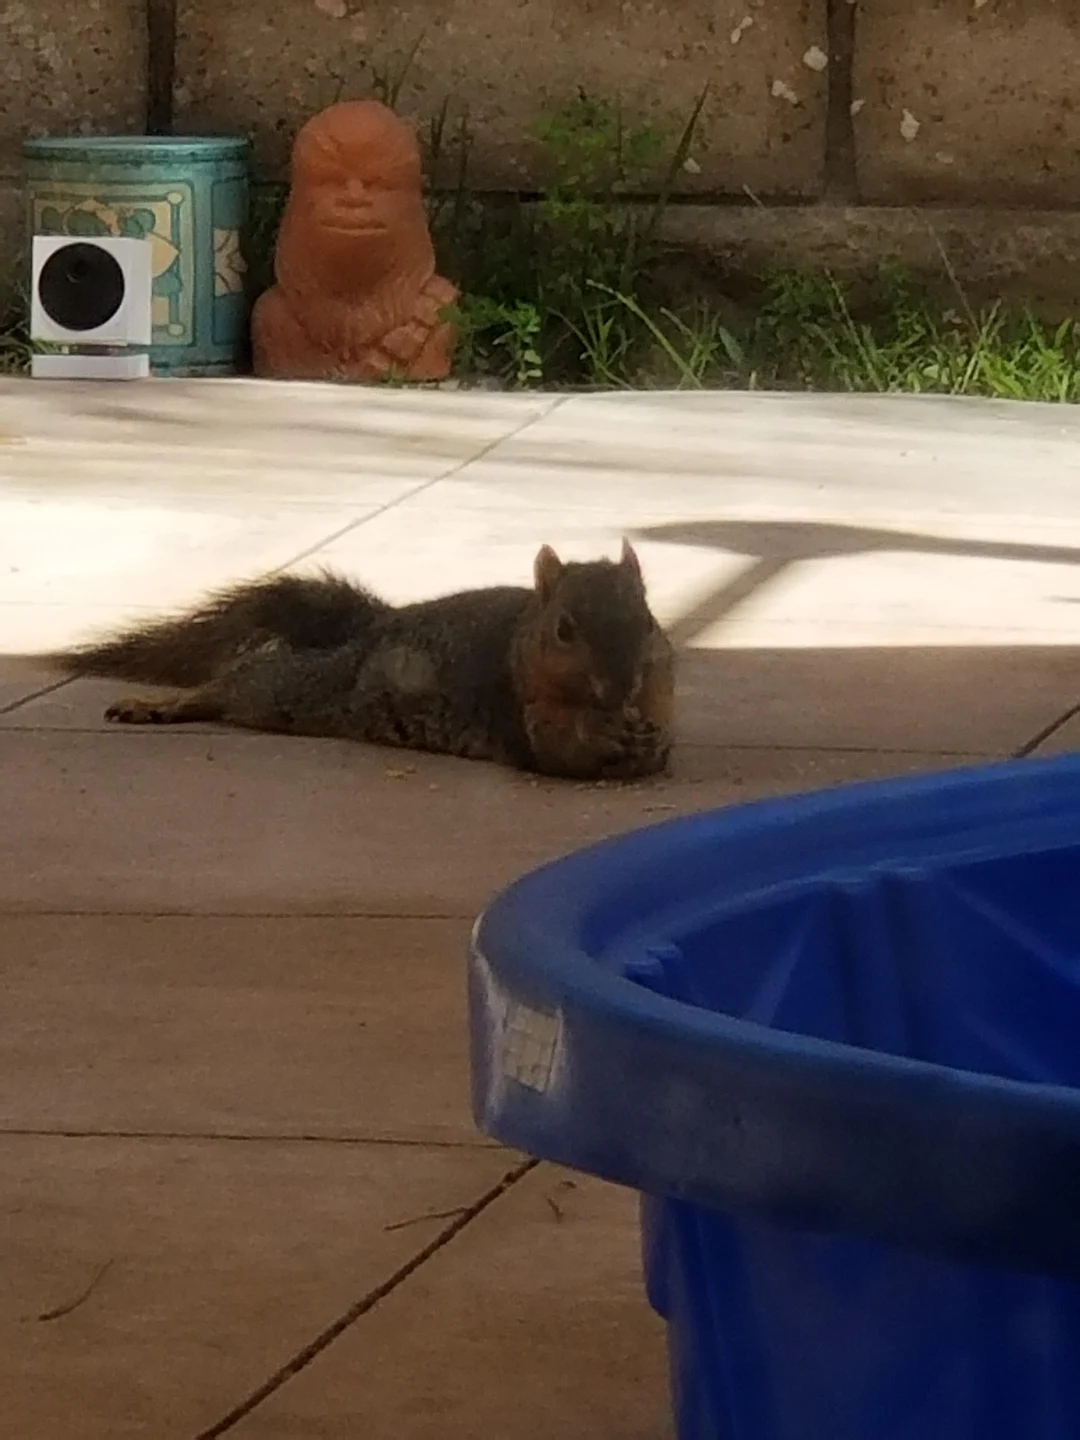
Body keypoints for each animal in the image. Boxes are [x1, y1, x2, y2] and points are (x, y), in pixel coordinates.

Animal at [46, 541, 675, 782]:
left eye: (648, 620)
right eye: (564, 630)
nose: (619, 689)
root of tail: (372, 627)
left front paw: (646, 737)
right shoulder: (520, 708)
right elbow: (560, 748)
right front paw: (604, 736)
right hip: (296, 690)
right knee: (237, 681)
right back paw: (161, 704)